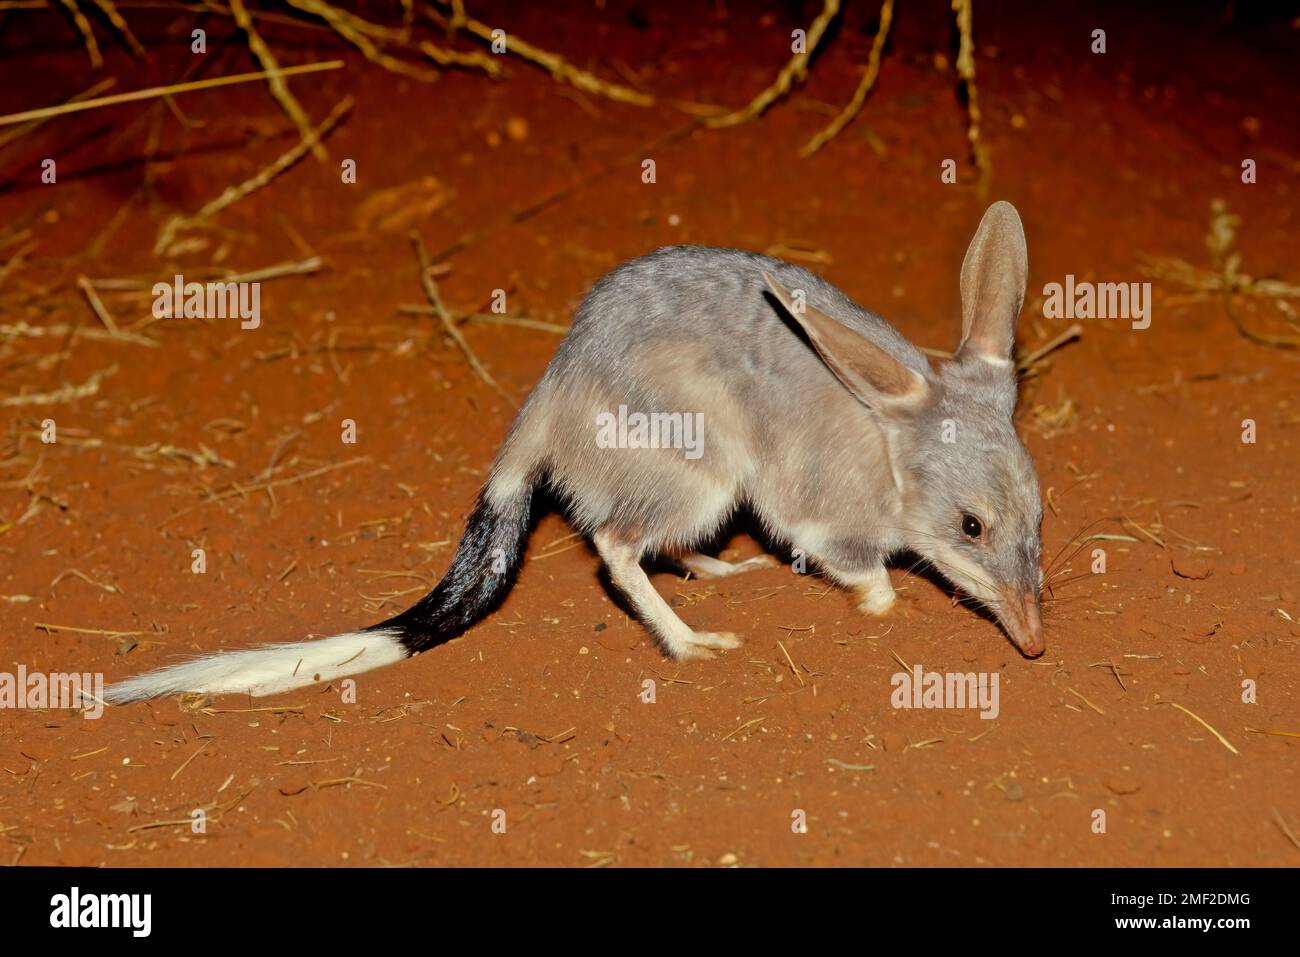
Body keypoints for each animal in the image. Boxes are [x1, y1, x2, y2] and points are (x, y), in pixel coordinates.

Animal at [103, 200, 1043, 703]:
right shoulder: (824, 518)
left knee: (653, 542)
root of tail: (551, 396)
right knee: (615, 548)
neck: (891, 447)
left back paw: (717, 570)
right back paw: (689, 642)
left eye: (1040, 513)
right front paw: (885, 604)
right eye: (970, 526)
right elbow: (861, 567)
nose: (1034, 646)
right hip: (702, 470)